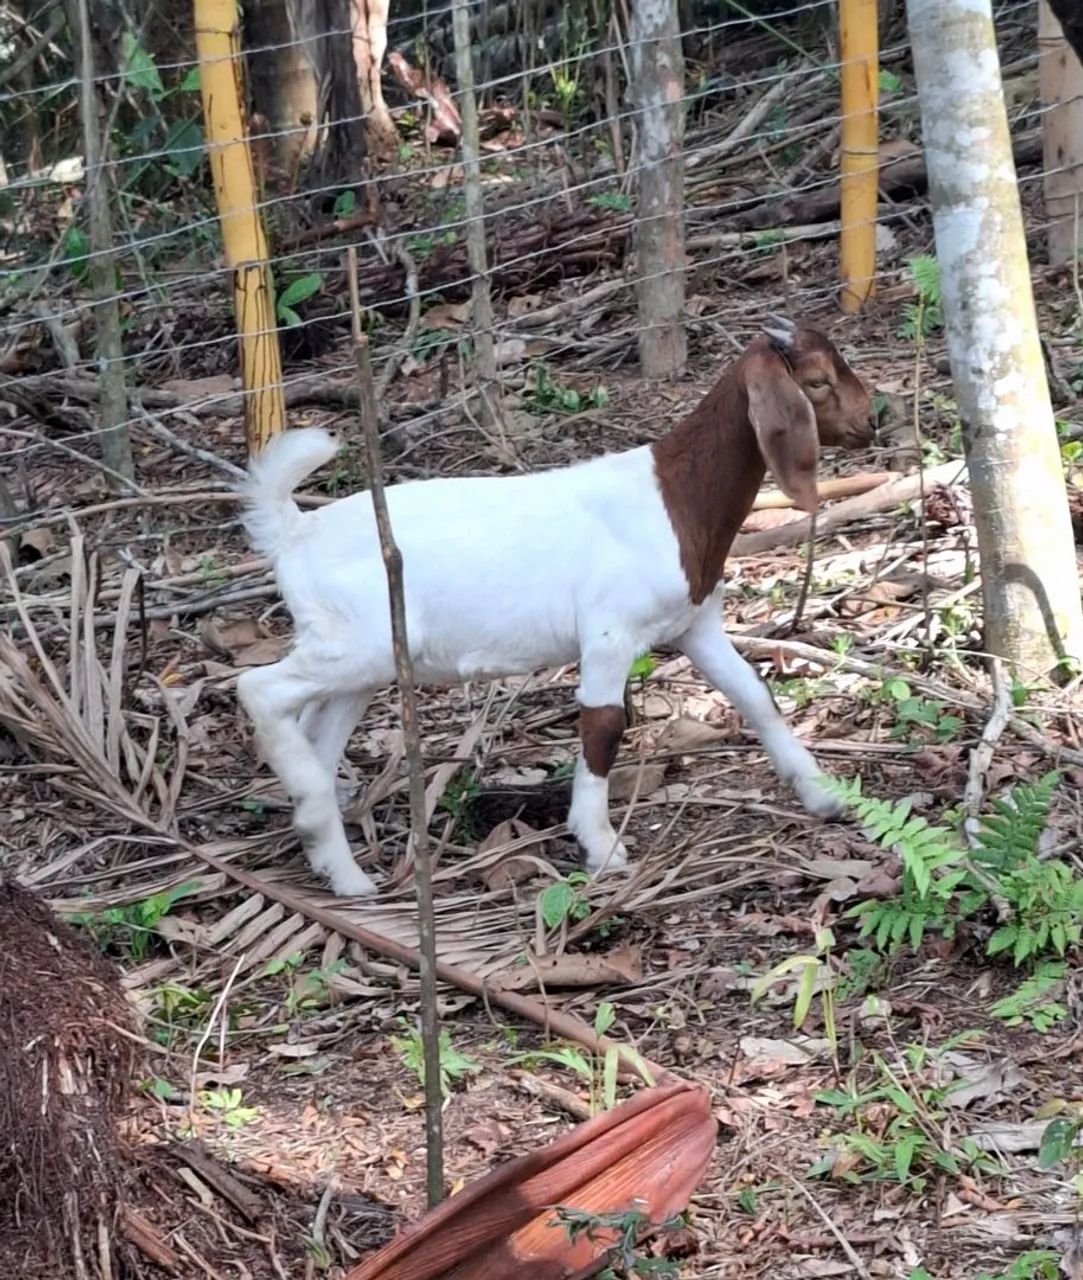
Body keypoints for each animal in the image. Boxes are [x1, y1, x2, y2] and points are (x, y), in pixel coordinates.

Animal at [237, 318, 876, 896]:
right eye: (817, 381)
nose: (871, 421)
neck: (676, 499)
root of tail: (295, 531)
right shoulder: (610, 633)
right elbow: (604, 727)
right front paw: (601, 845)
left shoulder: (696, 626)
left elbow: (755, 695)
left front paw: (823, 794)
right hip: (355, 643)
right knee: (258, 687)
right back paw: (315, 815)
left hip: (363, 657)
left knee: (318, 733)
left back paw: (337, 865)